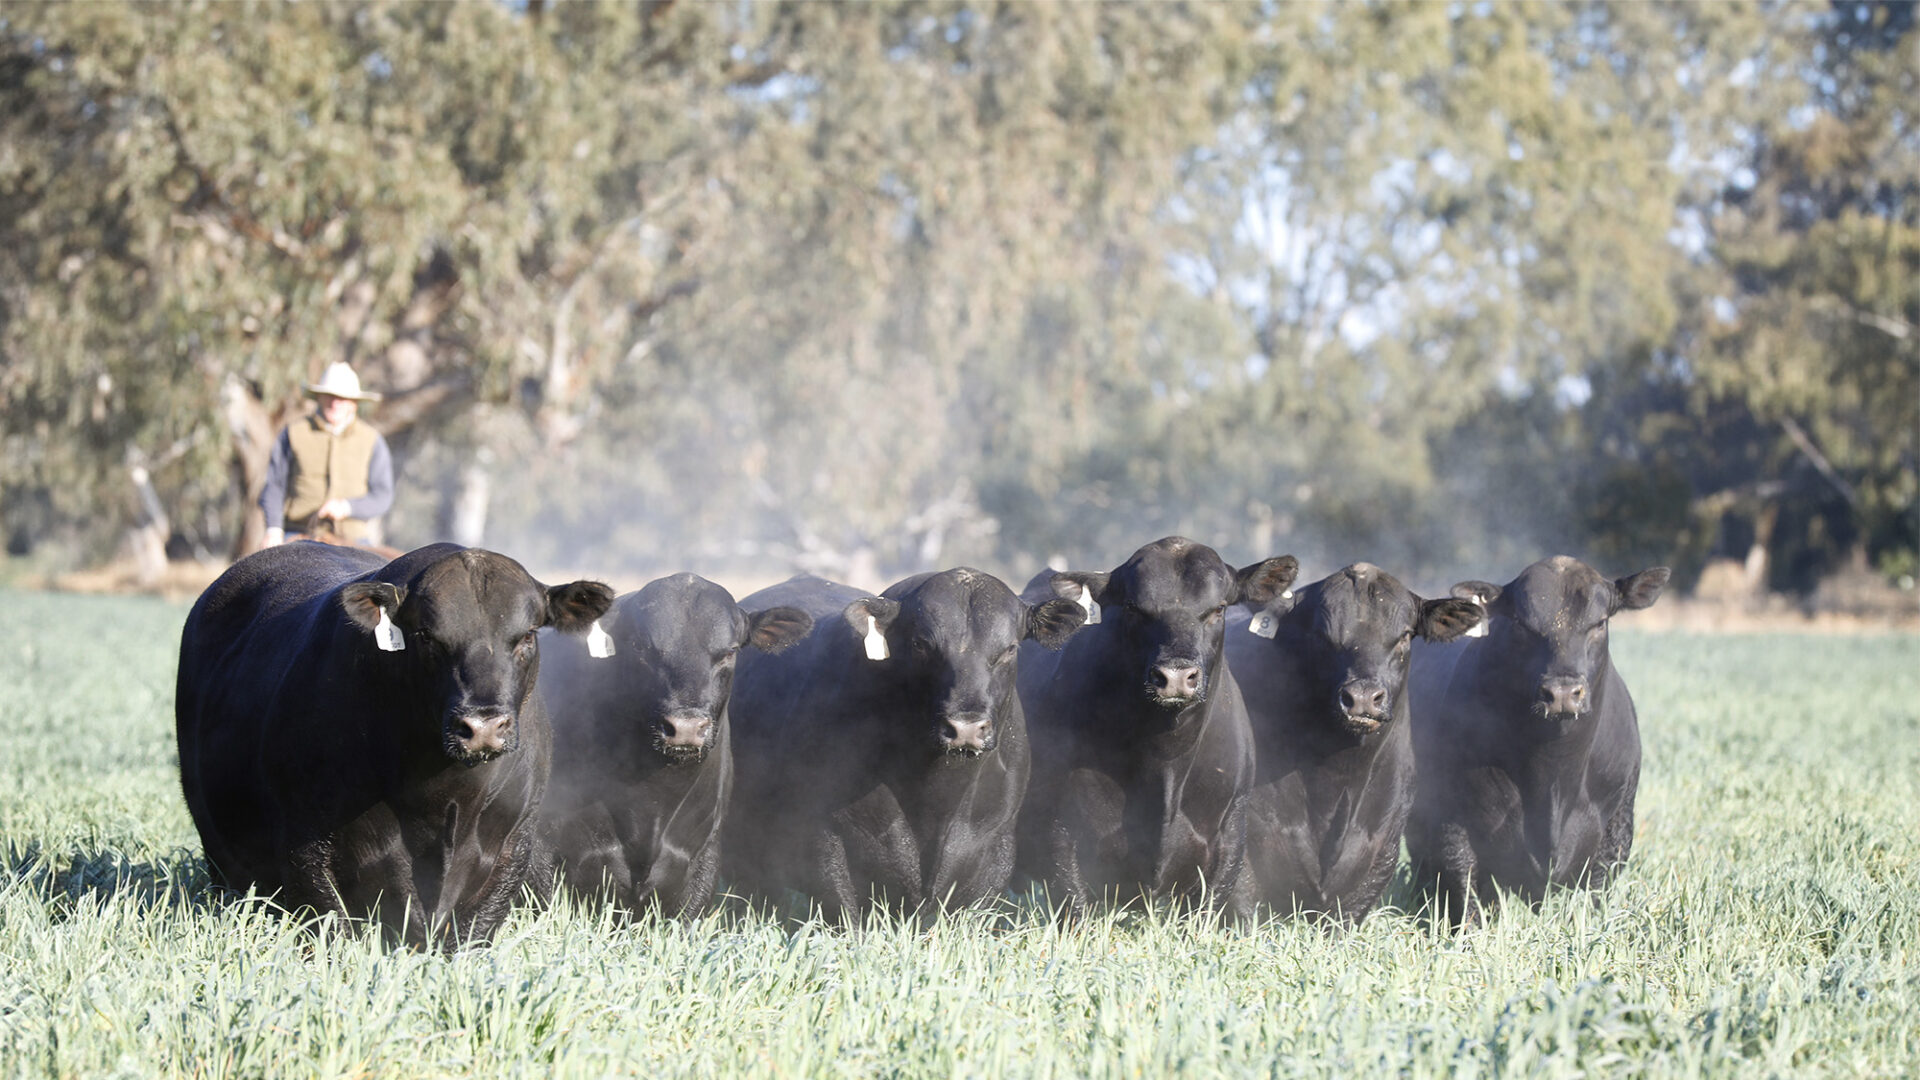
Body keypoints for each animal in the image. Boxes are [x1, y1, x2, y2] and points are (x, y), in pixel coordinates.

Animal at [174, 541, 614, 948]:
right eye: (427, 636)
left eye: (526, 636)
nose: (482, 726)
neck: (444, 799)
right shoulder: (305, 843)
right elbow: (332, 927)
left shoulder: (512, 841)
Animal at [724, 570, 1086, 921]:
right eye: (921, 643)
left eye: (1010, 648)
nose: (965, 727)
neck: (937, 798)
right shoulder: (825, 840)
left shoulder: (996, 848)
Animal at [1015, 536, 1298, 919]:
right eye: (1133, 607)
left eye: (1219, 608)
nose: (1175, 676)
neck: (1166, 764)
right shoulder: (1062, 838)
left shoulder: (1228, 841)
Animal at [1406, 555, 1669, 927]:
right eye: (1521, 623)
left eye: (1600, 622)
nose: (1562, 692)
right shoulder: (1451, 818)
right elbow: (1465, 890)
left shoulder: (1617, 825)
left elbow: (1597, 895)